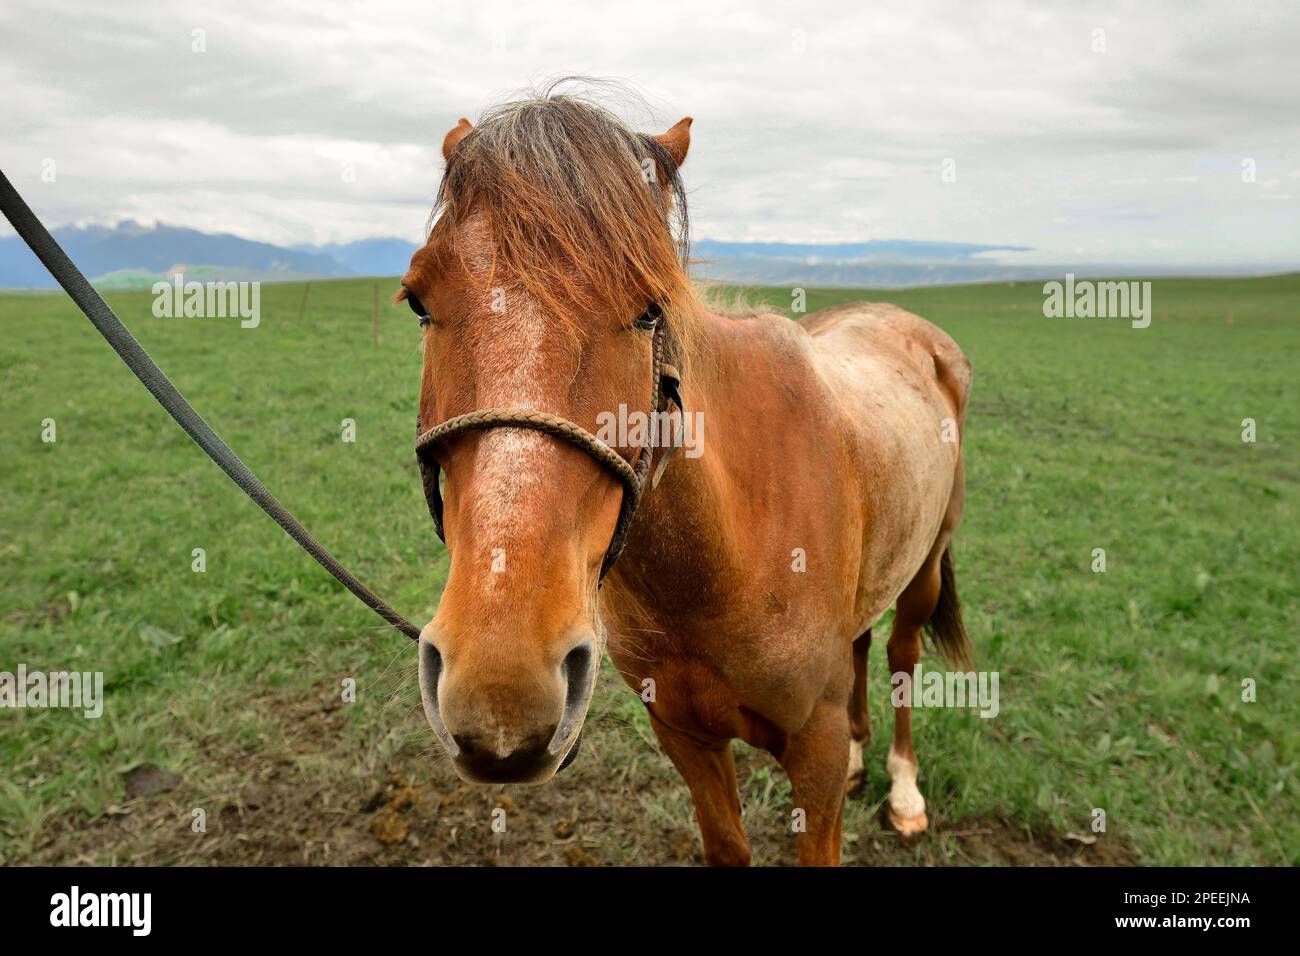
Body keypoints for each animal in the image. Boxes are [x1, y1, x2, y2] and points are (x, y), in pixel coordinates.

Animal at [400, 90, 974, 866]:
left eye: (650, 308)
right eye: (417, 301)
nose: (500, 683)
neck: (721, 552)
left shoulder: (813, 754)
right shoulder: (685, 736)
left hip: (927, 568)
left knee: (901, 653)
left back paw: (904, 792)